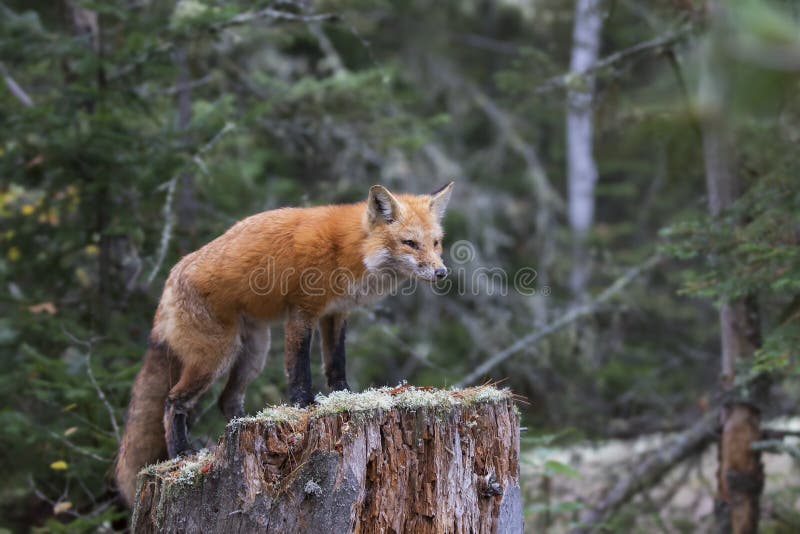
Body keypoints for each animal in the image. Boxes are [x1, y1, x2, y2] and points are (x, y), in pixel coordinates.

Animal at [115, 182, 454, 506]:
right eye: (410, 243)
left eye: (436, 242)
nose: (442, 272)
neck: (349, 249)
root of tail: (170, 280)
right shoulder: (301, 312)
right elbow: (299, 366)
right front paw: (303, 404)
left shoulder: (335, 313)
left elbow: (336, 363)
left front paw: (343, 395)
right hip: (216, 357)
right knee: (173, 401)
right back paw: (181, 452)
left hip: (254, 352)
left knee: (227, 400)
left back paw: (243, 424)